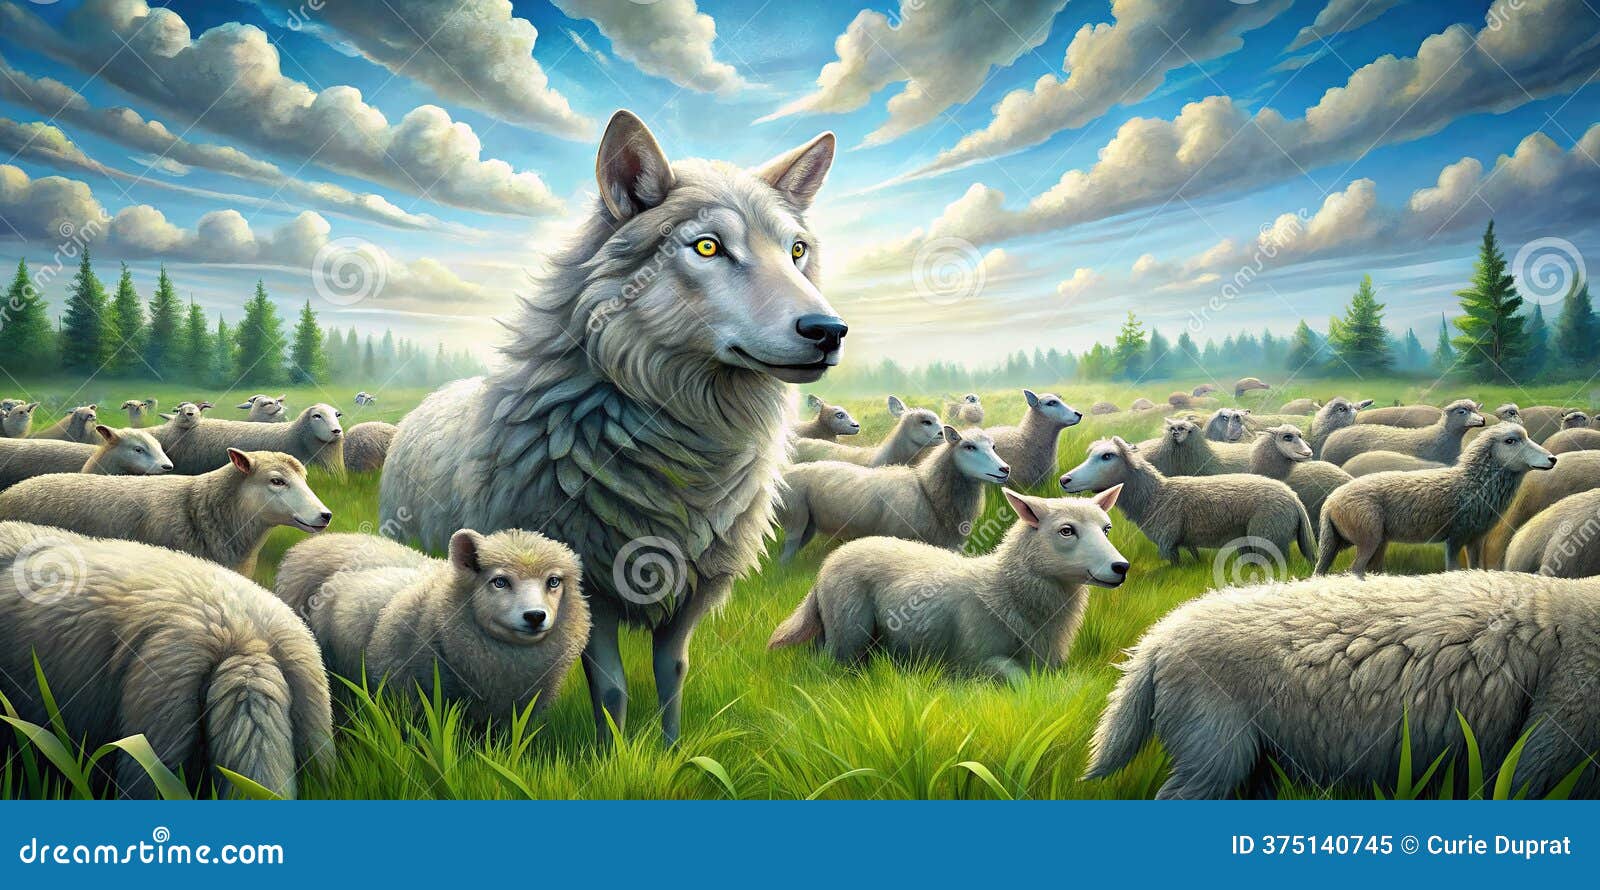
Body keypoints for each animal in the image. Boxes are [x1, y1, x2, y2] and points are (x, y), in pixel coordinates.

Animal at [768, 487, 1129, 682]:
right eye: (1066, 530)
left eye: (1107, 529)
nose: (1121, 567)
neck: (1004, 588)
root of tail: (829, 562)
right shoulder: (976, 660)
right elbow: (1019, 681)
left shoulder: (1049, 663)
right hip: (849, 633)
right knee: (831, 666)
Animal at [777, 426, 1011, 561]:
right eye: (969, 447)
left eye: (993, 447)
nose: (1005, 469)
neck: (927, 492)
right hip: (795, 519)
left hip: (808, 525)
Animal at [1060, 436, 1315, 566]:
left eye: (1107, 456)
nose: (1064, 480)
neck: (1154, 497)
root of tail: (1294, 500)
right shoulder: (1183, 542)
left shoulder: (1167, 544)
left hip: (1269, 535)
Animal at [1314, 422, 1555, 577]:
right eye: (1510, 441)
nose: (1552, 459)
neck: (1473, 483)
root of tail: (1330, 502)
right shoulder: (1455, 537)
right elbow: (1453, 569)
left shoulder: (1475, 539)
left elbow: (1475, 567)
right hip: (1367, 539)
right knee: (1354, 570)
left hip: (1356, 542)